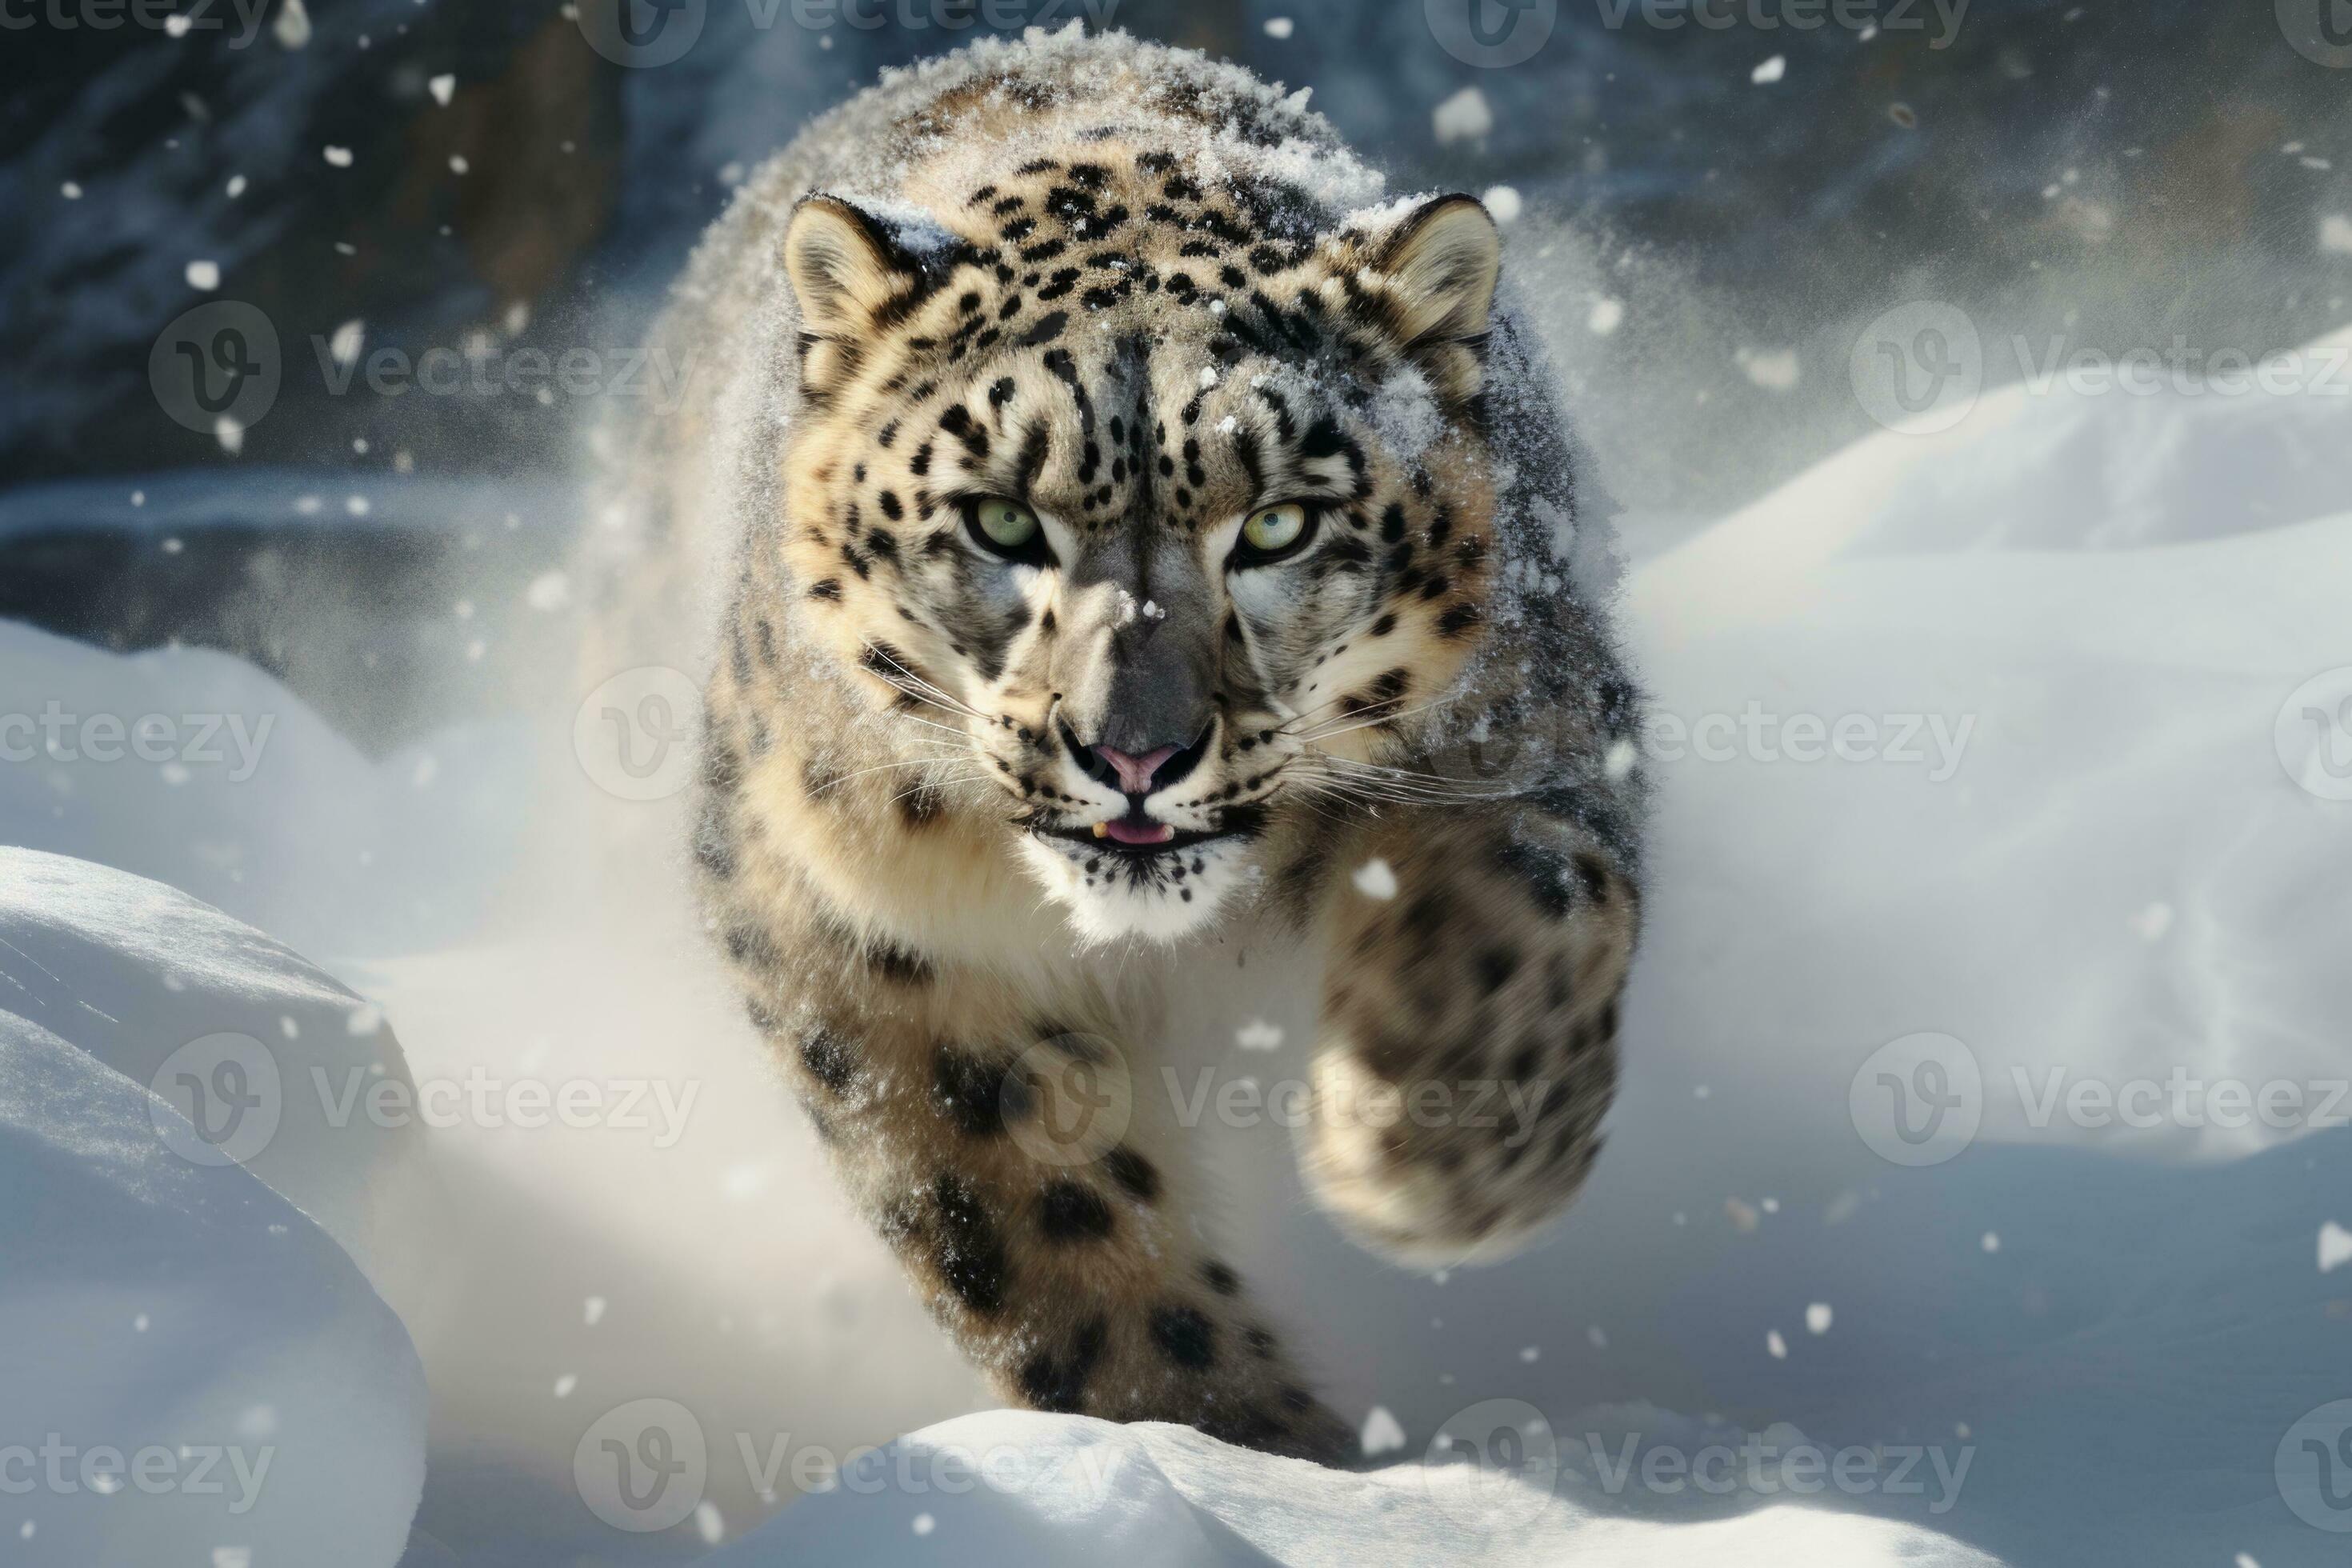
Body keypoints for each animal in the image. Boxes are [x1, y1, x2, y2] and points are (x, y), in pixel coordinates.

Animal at [594, 26, 1645, 1465]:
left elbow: (1524, 911)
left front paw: (1435, 1163)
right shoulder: (839, 910)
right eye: (997, 518)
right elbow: (1020, 1218)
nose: (1134, 752)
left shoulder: (1541, 725)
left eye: (1276, 524)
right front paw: (1229, 1445)